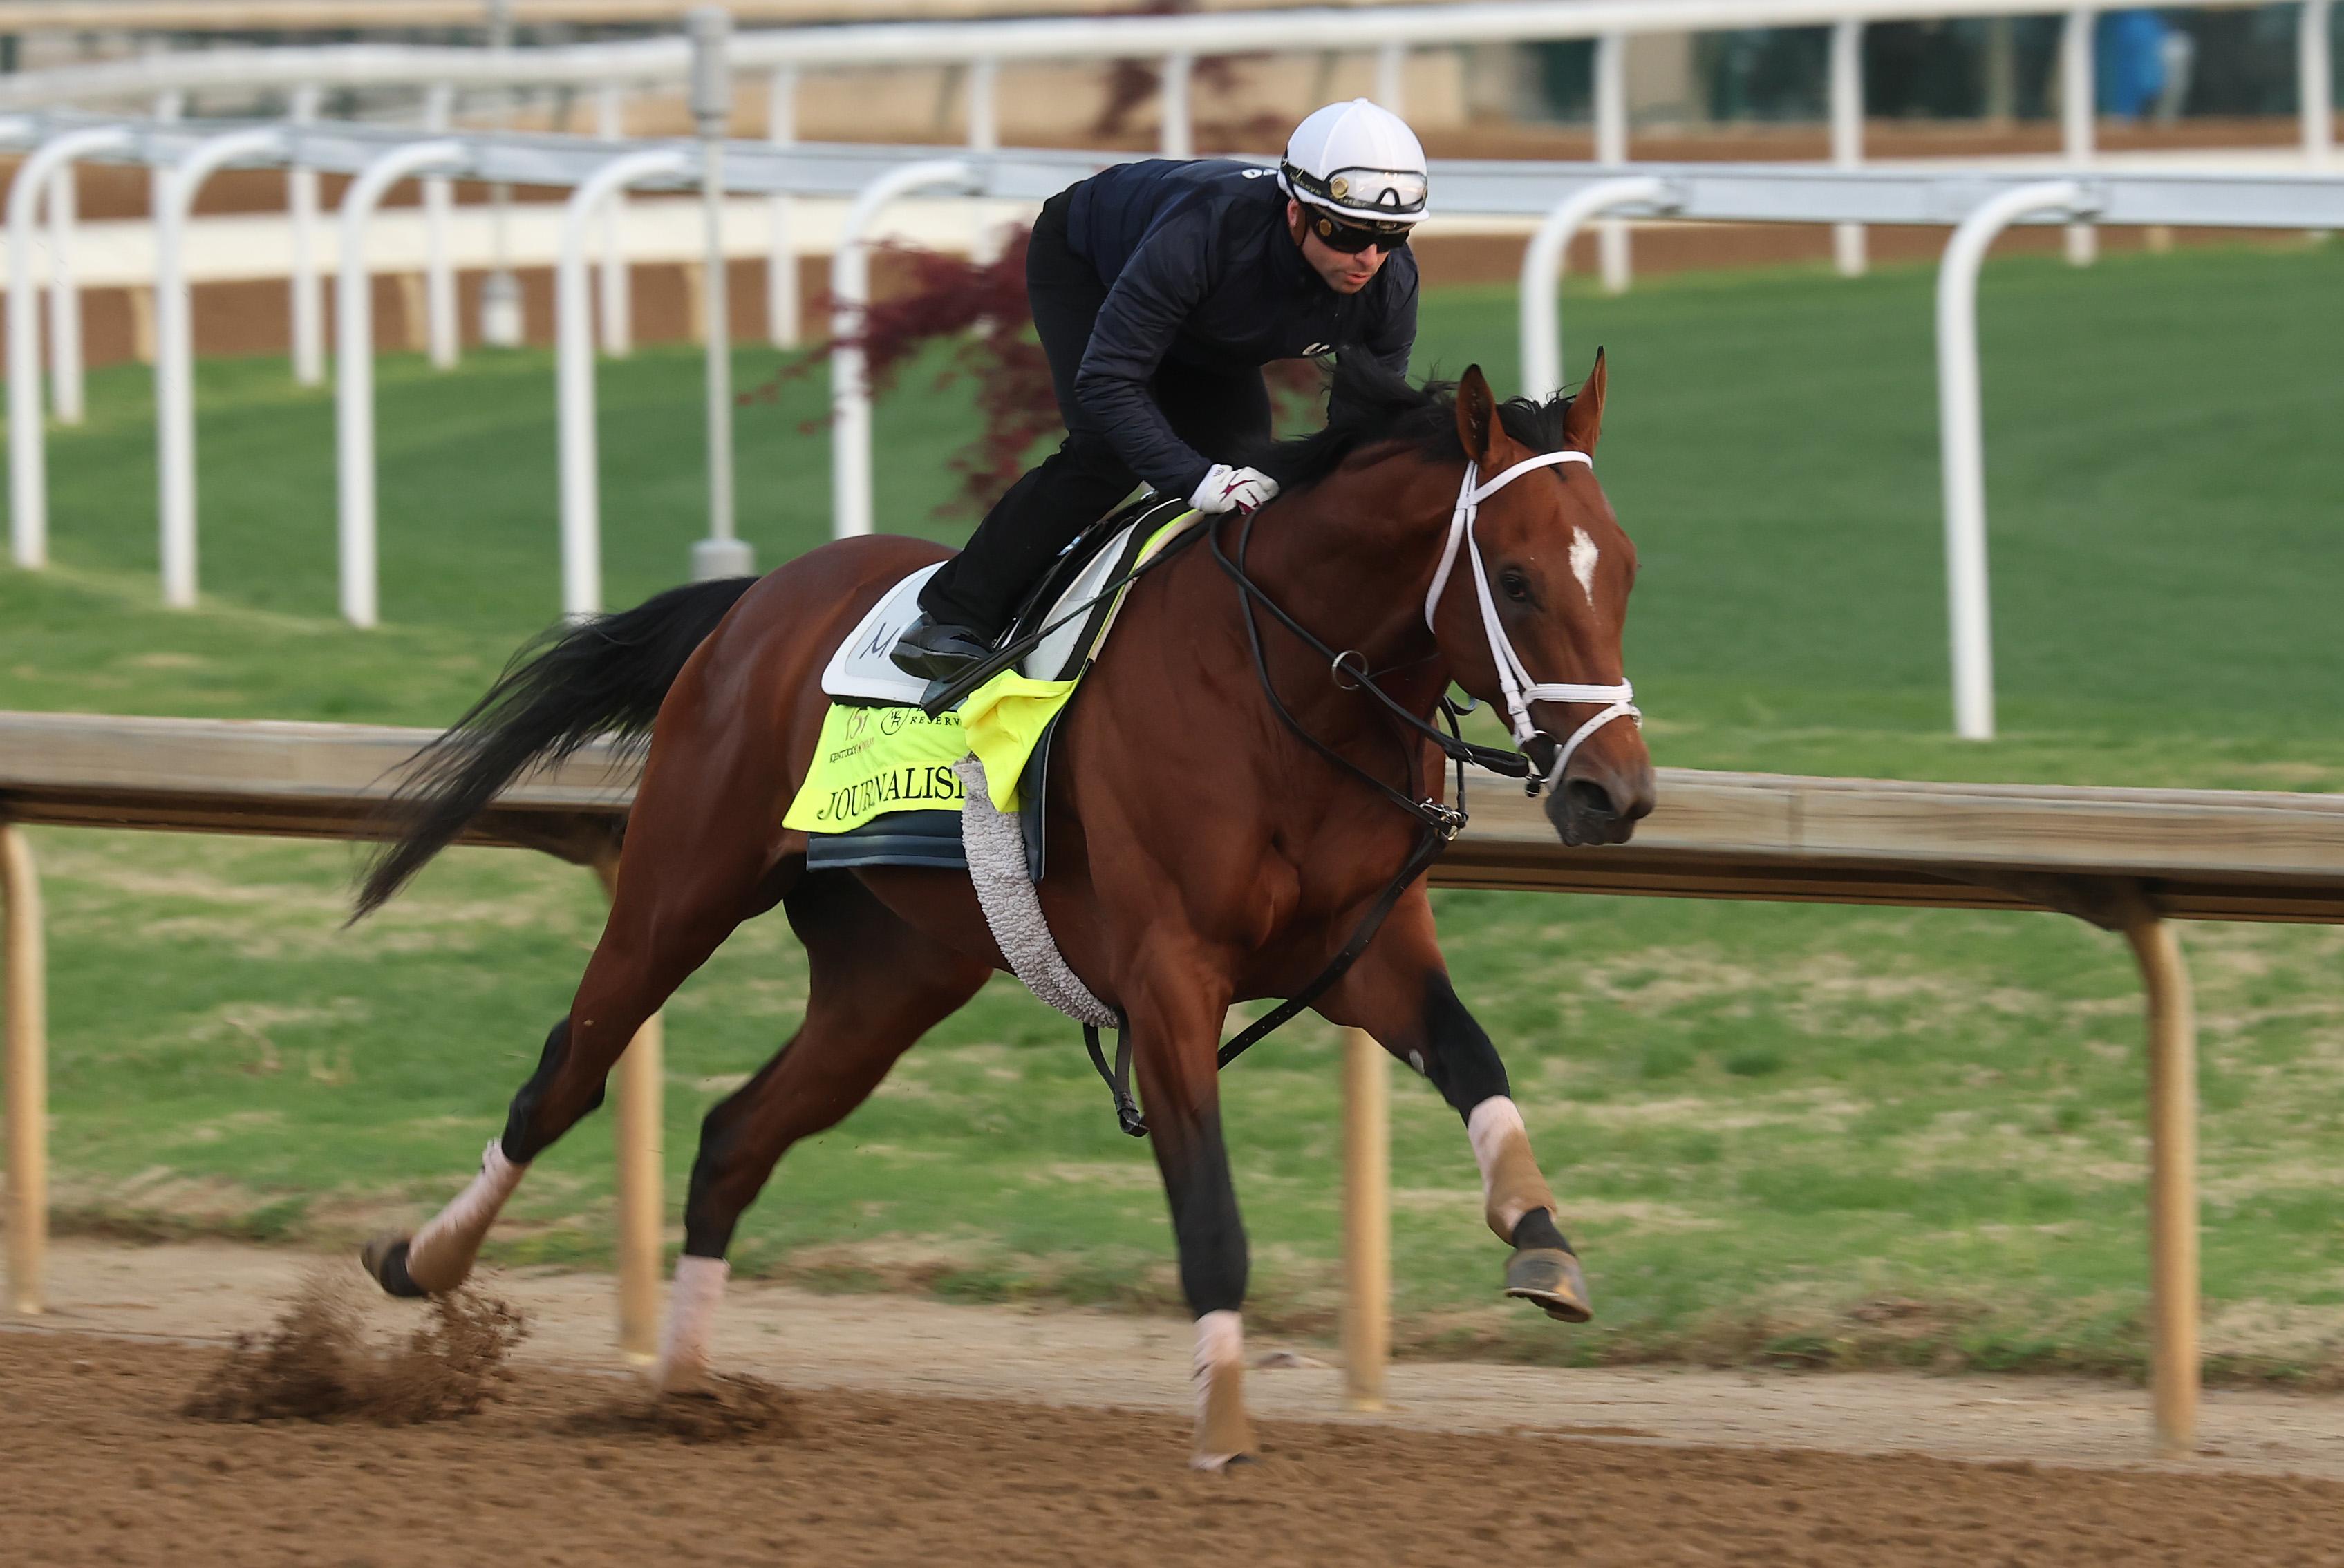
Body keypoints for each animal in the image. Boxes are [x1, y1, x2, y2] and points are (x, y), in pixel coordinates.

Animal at [353, 353, 1654, 1469]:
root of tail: (758, 596)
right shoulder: (1169, 978)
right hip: (681, 883)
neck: (1284, 689)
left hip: (891, 975)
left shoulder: (1359, 951)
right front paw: (1224, 1423)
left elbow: (1474, 1060)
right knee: (567, 1074)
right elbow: (1210, 1213)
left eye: (1627, 568)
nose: (1615, 792)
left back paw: (681, 1390)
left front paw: (1541, 1239)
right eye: (1518, 579)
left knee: (733, 1138)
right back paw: (422, 1257)